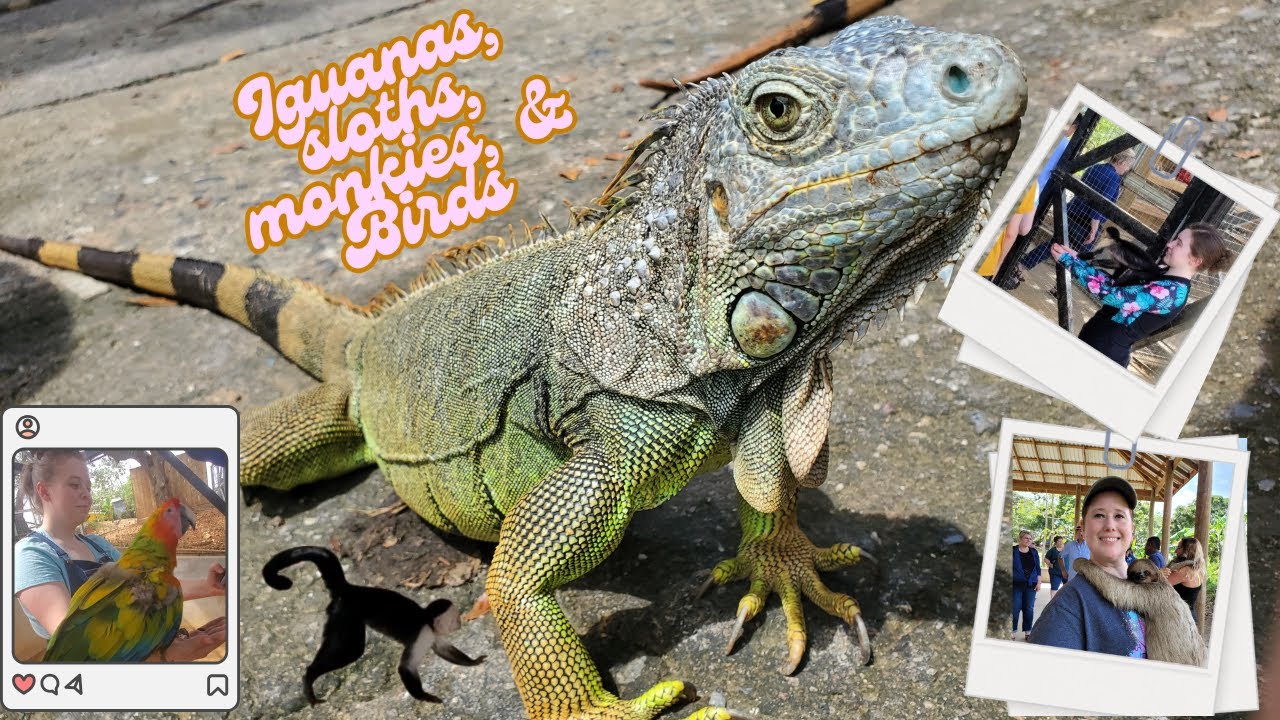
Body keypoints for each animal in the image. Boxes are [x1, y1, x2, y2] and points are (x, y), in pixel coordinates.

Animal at [263, 546, 485, 705]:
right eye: (455, 619)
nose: (460, 622)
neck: (428, 621)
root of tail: (350, 589)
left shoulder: (434, 635)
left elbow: (445, 651)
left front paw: (473, 662)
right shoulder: (422, 634)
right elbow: (405, 668)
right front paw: (426, 697)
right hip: (345, 615)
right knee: (351, 651)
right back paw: (309, 679)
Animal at [1073, 558, 1205, 666]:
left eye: (1146, 572)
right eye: (1133, 573)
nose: (1139, 575)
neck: (1159, 582)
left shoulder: (1149, 592)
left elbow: (1118, 589)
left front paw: (1080, 561)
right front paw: (1189, 562)